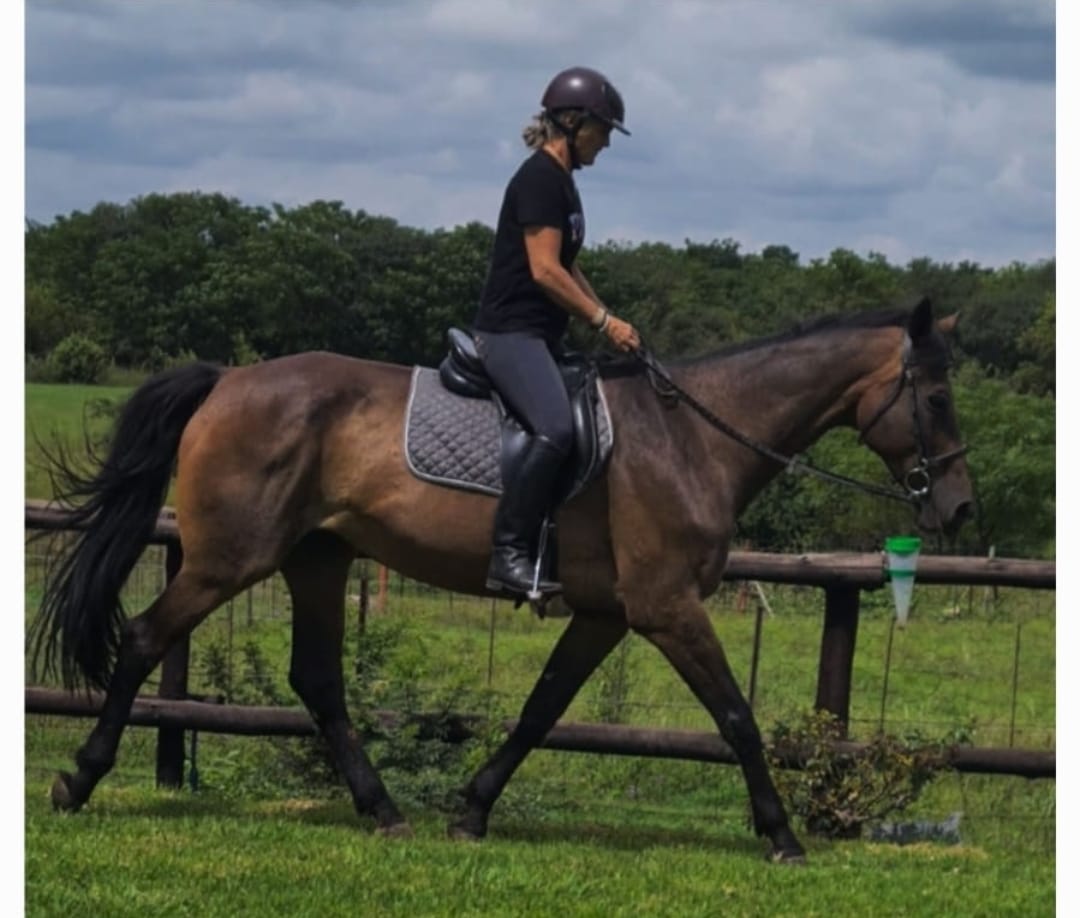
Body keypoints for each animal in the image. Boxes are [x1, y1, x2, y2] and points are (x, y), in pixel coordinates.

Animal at [30, 296, 972, 863]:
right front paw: (780, 836)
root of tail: (227, 379)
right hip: (233, 558)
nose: (959, 510)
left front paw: (471, 810)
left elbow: (542, 710)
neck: (692, 438)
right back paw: (78, 781)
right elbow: (736, 717)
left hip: (317, 558)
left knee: (318, 680)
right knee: (146, 639)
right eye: (935, 401)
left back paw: (384, 809)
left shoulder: (605, 613)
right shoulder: (667, 608)